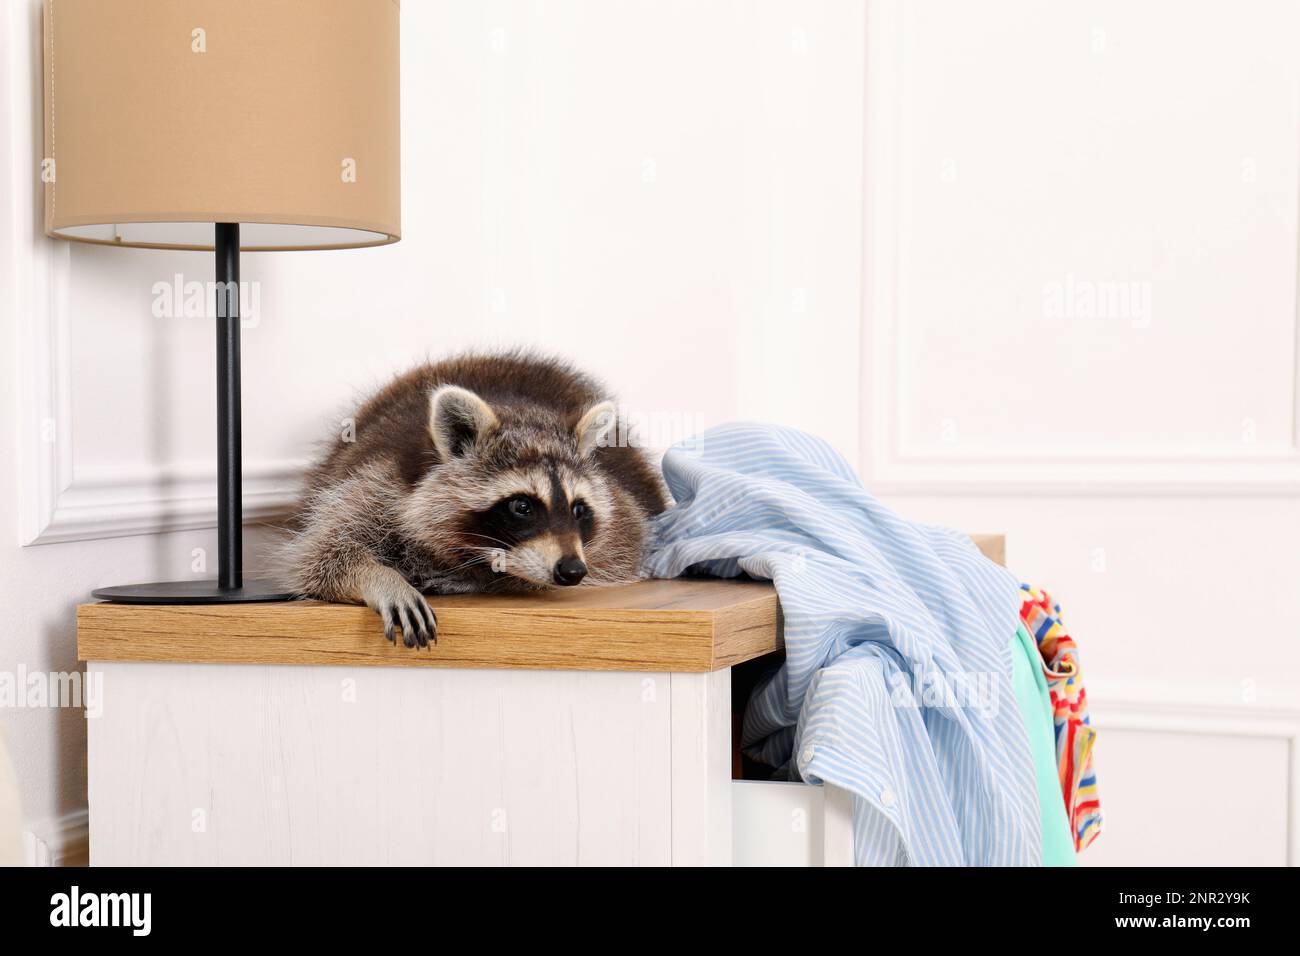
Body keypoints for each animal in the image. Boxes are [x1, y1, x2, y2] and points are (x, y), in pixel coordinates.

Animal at [278, 352, 669, 648]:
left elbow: (621, 551)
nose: (571, 570)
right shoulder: (377, 483)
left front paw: (478, 577)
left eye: (579, 509)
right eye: (522, 507)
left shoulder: (624, 520)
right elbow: (320, 553)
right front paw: (378, 576)